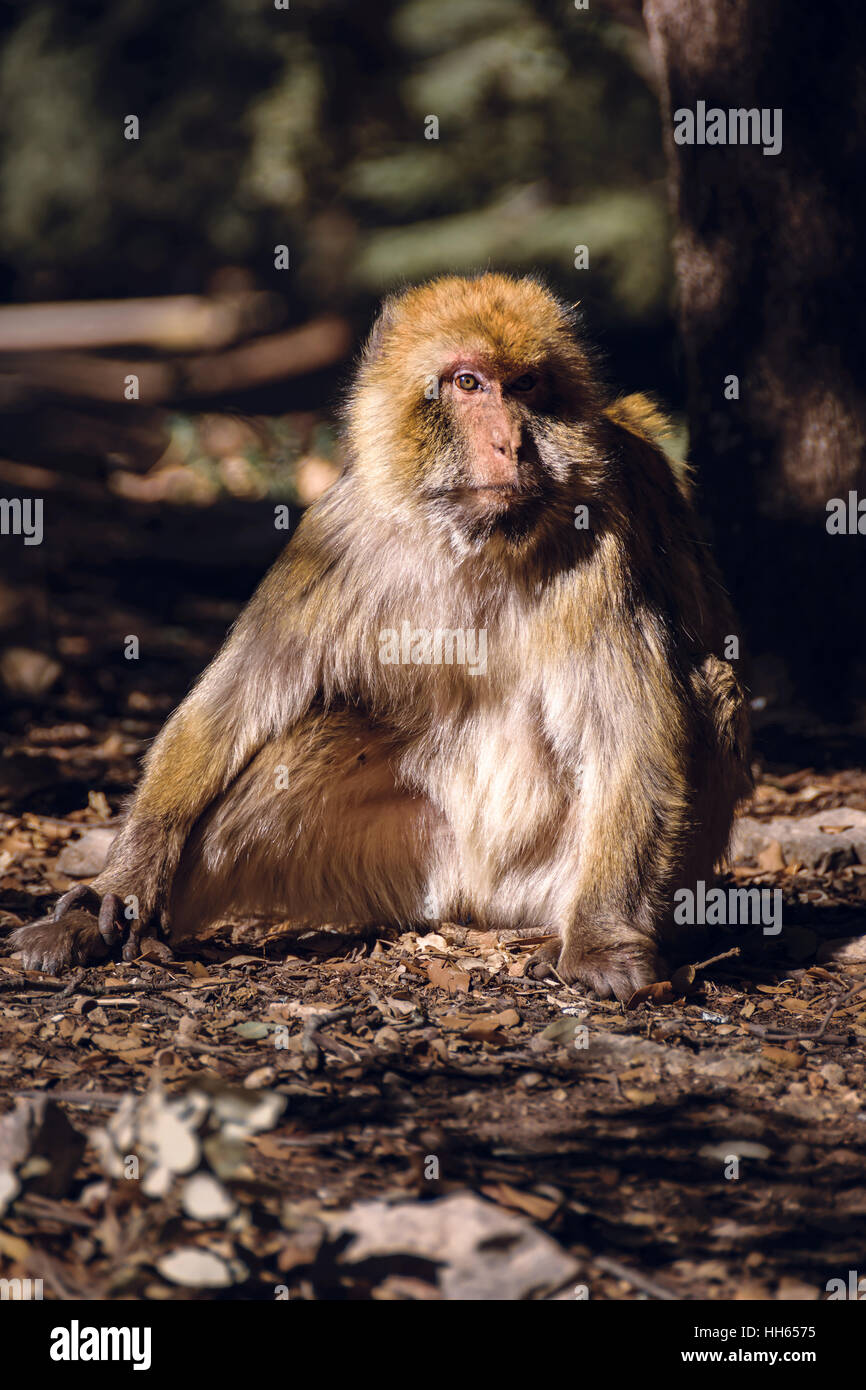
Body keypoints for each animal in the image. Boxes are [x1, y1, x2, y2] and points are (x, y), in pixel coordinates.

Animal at [10, 273, 751, 1000]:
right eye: (468, 383)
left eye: (526, 385)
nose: (512, 444)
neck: (475, 541)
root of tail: (477, 904)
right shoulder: (340, 534)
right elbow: (235, 703)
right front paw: (126, 884)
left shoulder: (603, 543)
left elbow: (629, 734)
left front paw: (601, 939)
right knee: (313, 736)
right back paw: (109, 925)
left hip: (550, 879)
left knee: (711, 686)